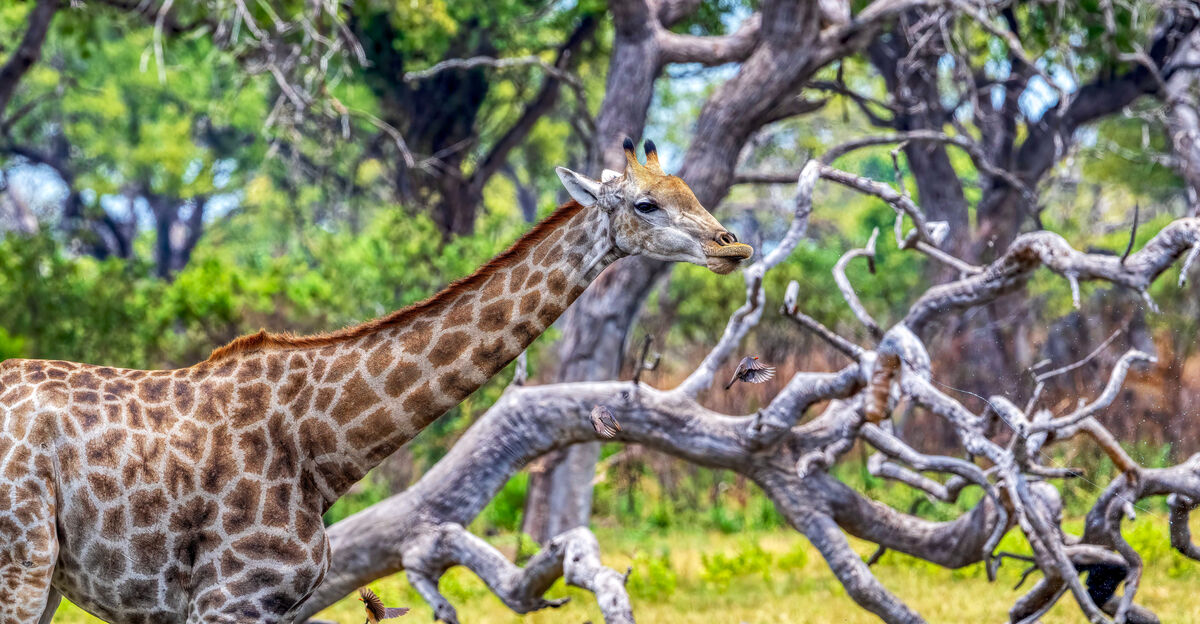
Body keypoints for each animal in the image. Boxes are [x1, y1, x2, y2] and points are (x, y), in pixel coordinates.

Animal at [0, 138, 753, 624]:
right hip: (23, 563)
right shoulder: (227, 600)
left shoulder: (263, 607)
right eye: (646, 205)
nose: (734, 246)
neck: (323, 448)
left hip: (47, 579)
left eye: (691, 191)